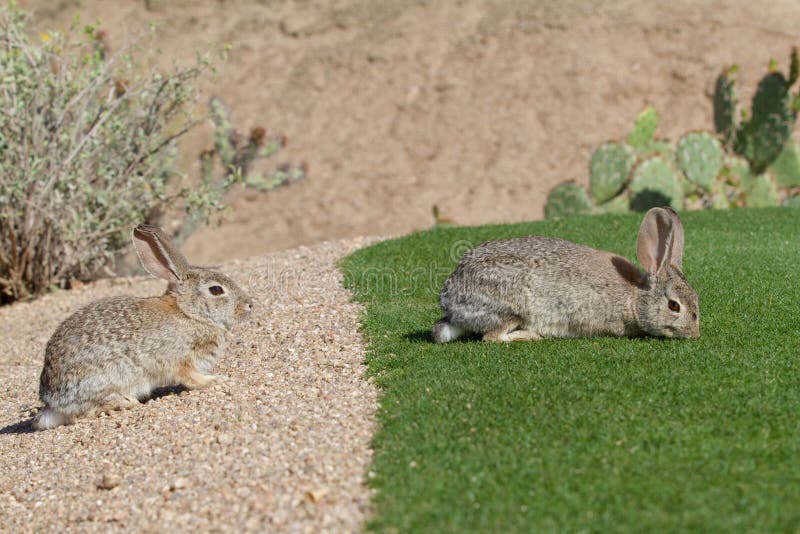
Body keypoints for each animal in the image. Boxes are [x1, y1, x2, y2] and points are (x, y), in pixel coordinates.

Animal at [33, 224, 253, 430]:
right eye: (216, 290)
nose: (250, 304)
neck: (188, 313)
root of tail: (53, 403)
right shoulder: (179, 360)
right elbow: (192, 378)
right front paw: (217, 380)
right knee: (83, 414)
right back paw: (124, 402)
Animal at [432, 206, 699, 343]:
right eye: (674, 306)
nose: (695, 334)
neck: (634, 297)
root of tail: (450, 304)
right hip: (510, 307)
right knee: (492, 337)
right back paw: (530, 335)